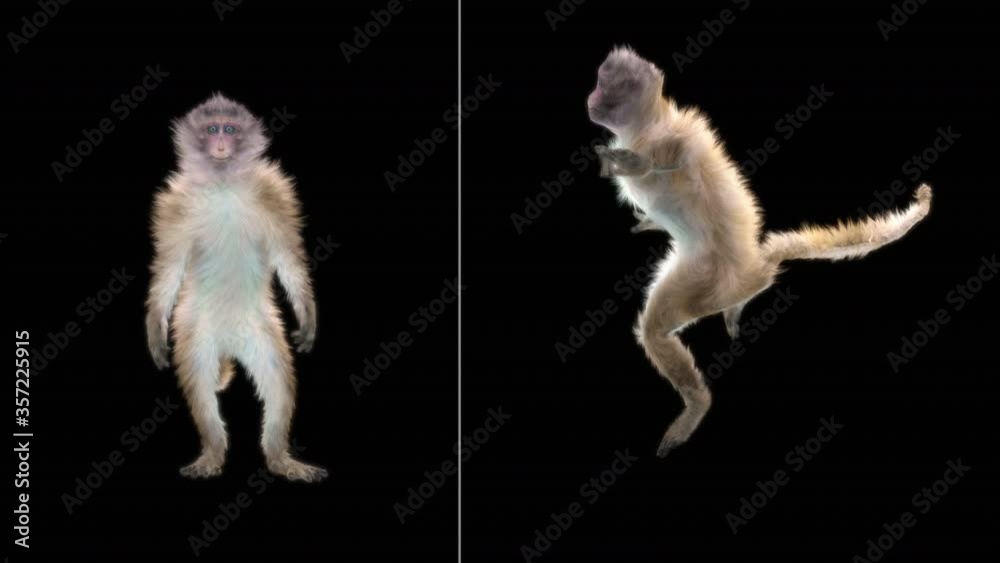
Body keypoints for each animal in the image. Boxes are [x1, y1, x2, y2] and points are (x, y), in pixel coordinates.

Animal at [145, 93, 326, 481]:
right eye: (212, 128)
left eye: (229, 129)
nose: (220, 145)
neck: (222, 184)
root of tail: (231, 343)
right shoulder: (173, 204)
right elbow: (169, 269)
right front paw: (154, 330)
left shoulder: (275, 192)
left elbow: (287, 256)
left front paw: (306, 313)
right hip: (195, 333)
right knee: (200, 385)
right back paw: (213, 452)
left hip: (262, 331)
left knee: (277, 383)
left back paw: (279, 457)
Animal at [587, 47, 932, 458]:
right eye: (599, 82)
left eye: (608, 88)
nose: (592, 98)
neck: (644, 127)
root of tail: (753, 265)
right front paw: (642, 209)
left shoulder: (665, 141)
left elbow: (658, 163)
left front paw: (632, 165)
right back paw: (733, 313)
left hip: (710, 278)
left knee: (655, 329)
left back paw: (697, 405)